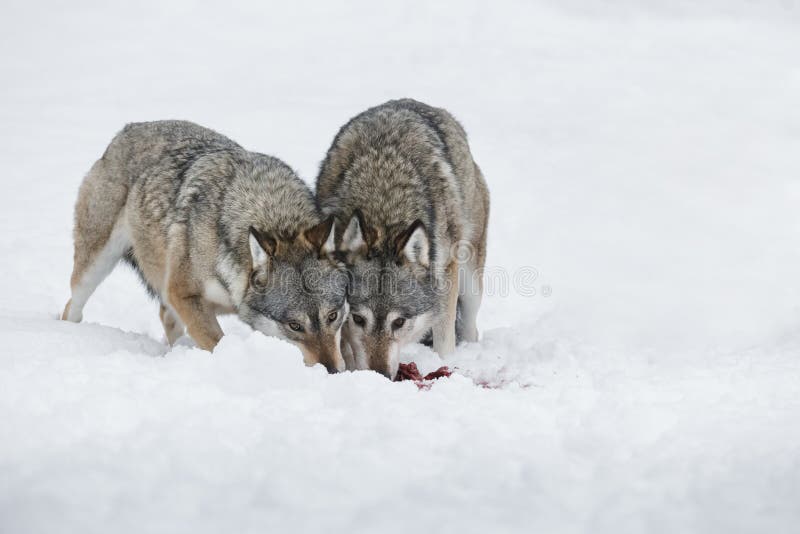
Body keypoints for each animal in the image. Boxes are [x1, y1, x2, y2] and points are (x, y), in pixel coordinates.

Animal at [62, 120, 348, 372]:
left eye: (333, 316)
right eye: (295, 325)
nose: (333, 372)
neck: (272, 214)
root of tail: (127, 129)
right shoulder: (182, 294)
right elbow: (218, 343)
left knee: (166, 317)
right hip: (94, 267)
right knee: (71, 307)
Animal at [316, 99, 489, 379]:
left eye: (399, 322)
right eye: (358, 319)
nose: (380, 376)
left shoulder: (445, 277)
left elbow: (444, 338)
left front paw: (445, 364)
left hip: (470, 281)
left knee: (470, 328)